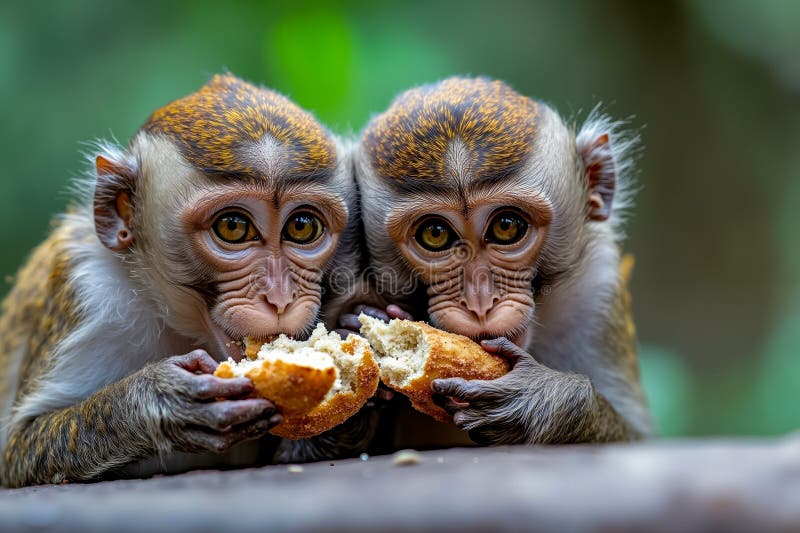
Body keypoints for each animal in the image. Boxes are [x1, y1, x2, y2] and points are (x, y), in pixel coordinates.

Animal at [0, 74, 373, 488]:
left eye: (302, 226)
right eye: (233, 226)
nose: (279, 298)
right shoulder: (88, 290)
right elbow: (19, 450)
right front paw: (163, 398)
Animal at [343, 77, 652, 446]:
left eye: (506, 226)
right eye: (435, 234)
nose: (480, 303)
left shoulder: (597, 289)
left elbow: (639, 436)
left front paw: (543, 398)